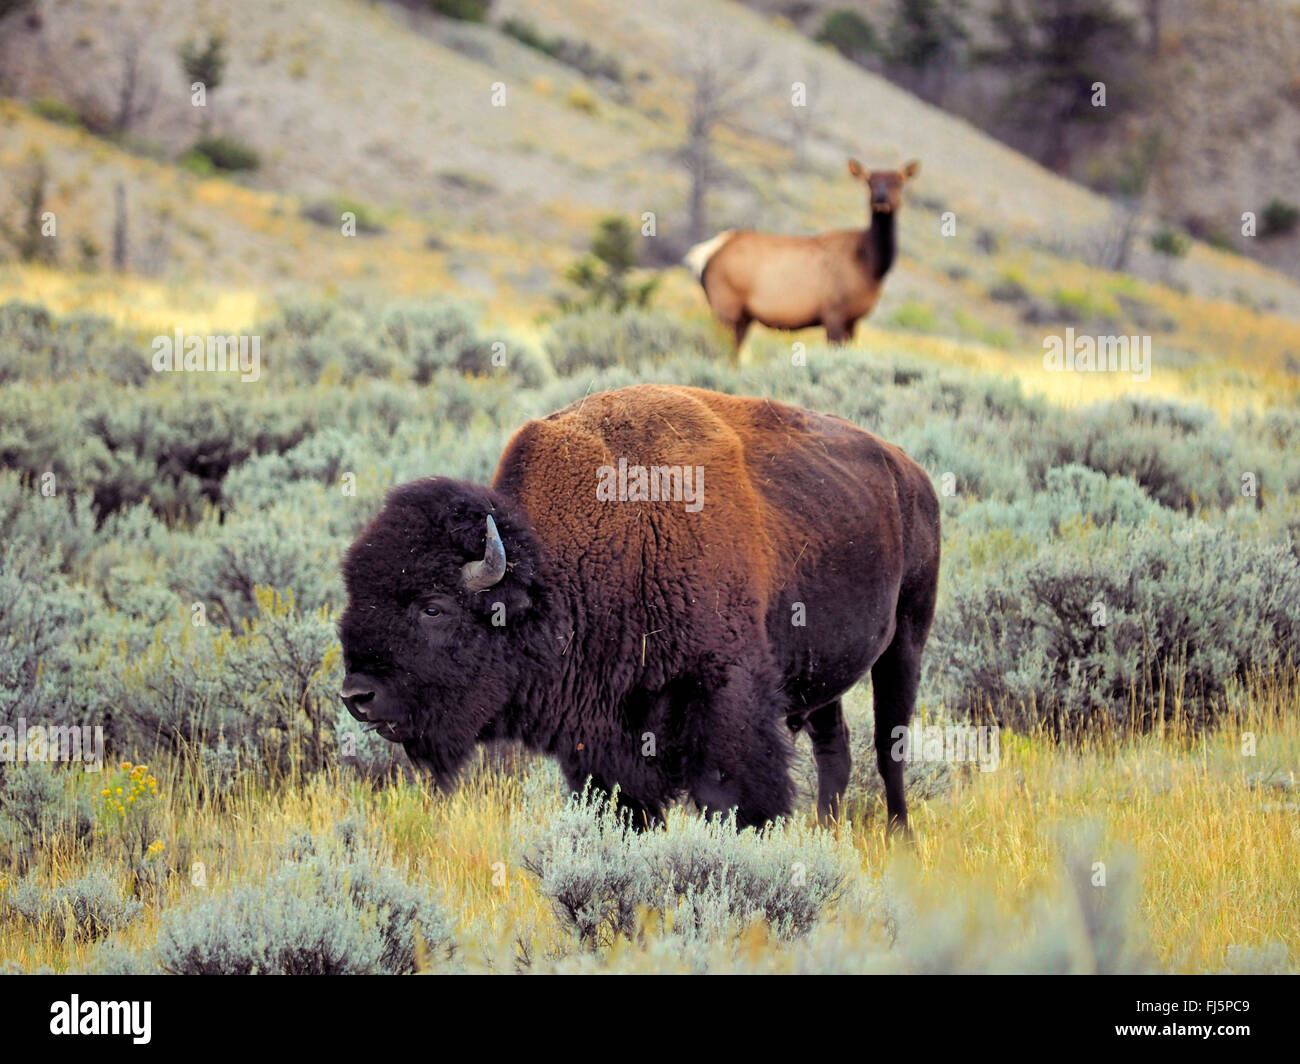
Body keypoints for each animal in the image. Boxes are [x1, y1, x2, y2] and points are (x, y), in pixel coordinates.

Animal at [340, 384, 940, 832]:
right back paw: (829, 830)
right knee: (835, 748)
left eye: (434, 608)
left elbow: (737, 800)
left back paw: (899, 837)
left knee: (889, 748)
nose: (356, 696)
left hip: (906, 643)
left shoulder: (727, 701)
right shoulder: (603, 743)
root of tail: (912, 474)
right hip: (824, 676)